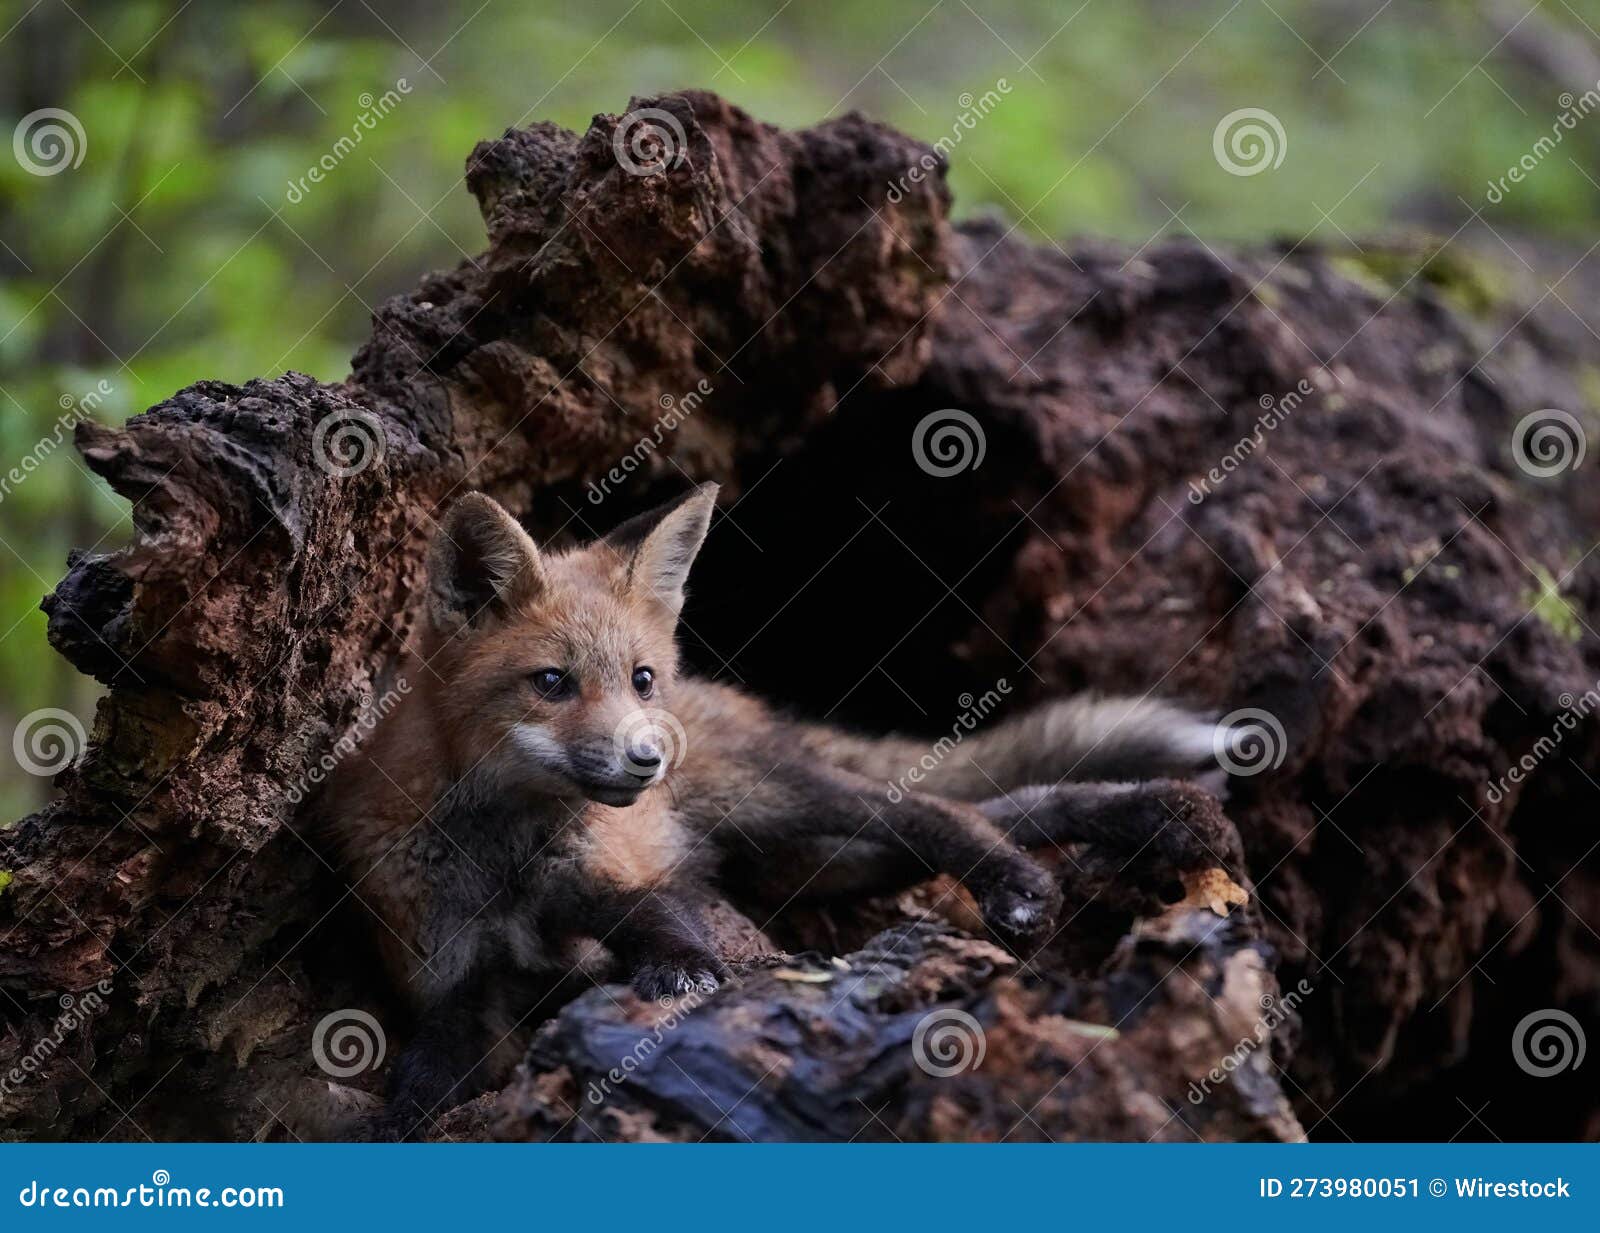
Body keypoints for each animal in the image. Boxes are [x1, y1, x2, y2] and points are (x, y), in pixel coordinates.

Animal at [314, 482, 1225, 1137]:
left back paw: (1030, 872)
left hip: (774, 798)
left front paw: (680, 976)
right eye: (551, 682)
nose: (647, 759)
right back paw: (1141, 820)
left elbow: (665, 929)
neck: (510, 856)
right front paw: (400, 1120)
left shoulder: (624, 877)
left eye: (639, 678)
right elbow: (428, 1073)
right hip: (802, 858)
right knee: (1005, 806)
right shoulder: (452, 979)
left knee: (933, 808)